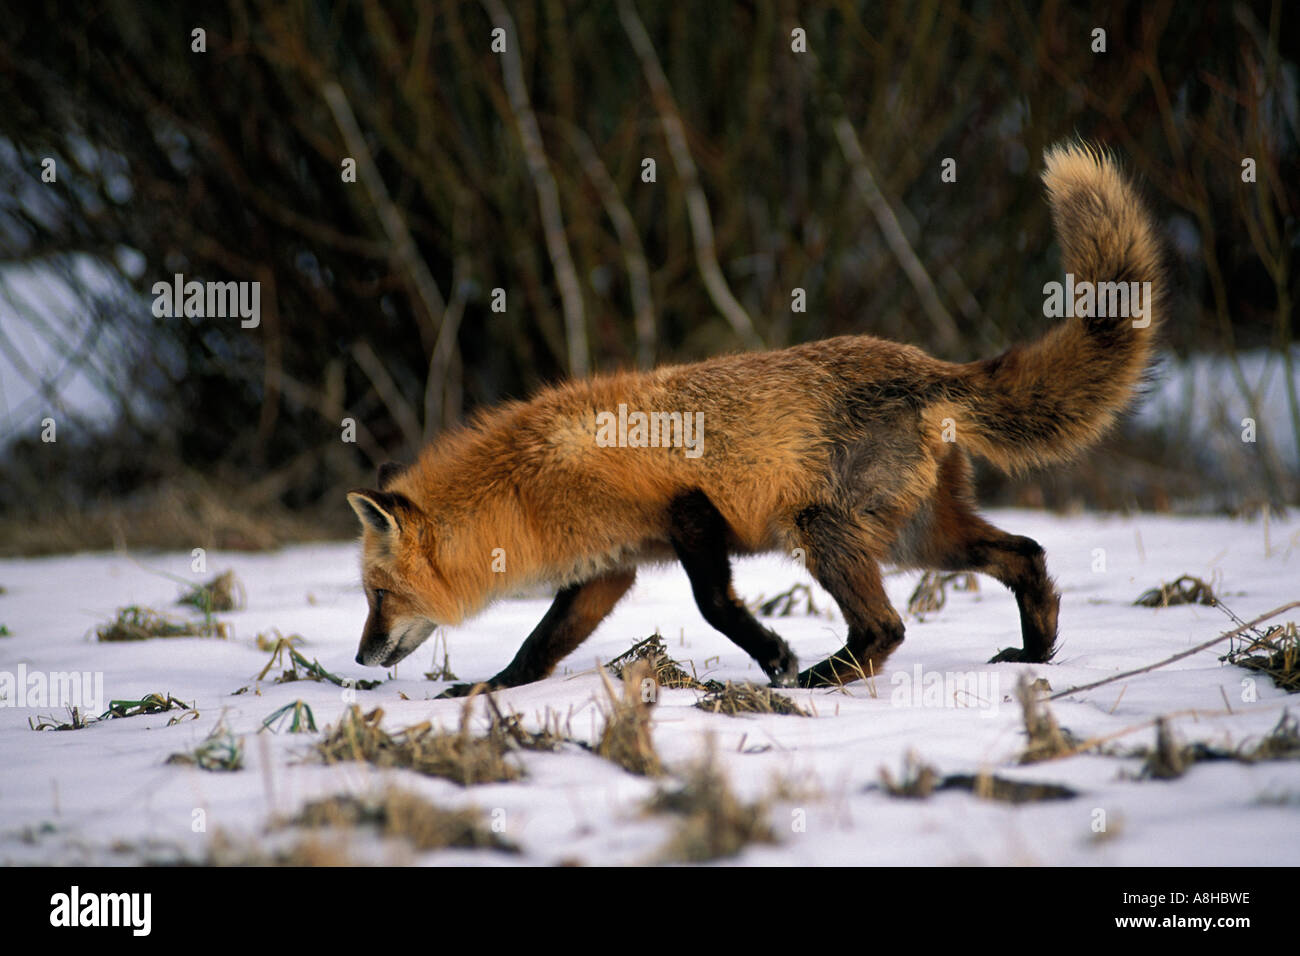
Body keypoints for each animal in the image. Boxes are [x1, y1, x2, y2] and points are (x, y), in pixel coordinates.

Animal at [347, 142, 1163, 694]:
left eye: (378, 596)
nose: (359, 655)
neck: (529, 486)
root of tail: (928, 365)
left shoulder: (687, 512)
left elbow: (713, 606)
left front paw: (774, 655)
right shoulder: (606, 571)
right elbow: (538, 647)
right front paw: (488, 692)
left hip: (826, 530)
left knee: (889, 626)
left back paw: (824, 677)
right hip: (921, 539)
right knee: (1025, 553)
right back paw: (1033, 656)